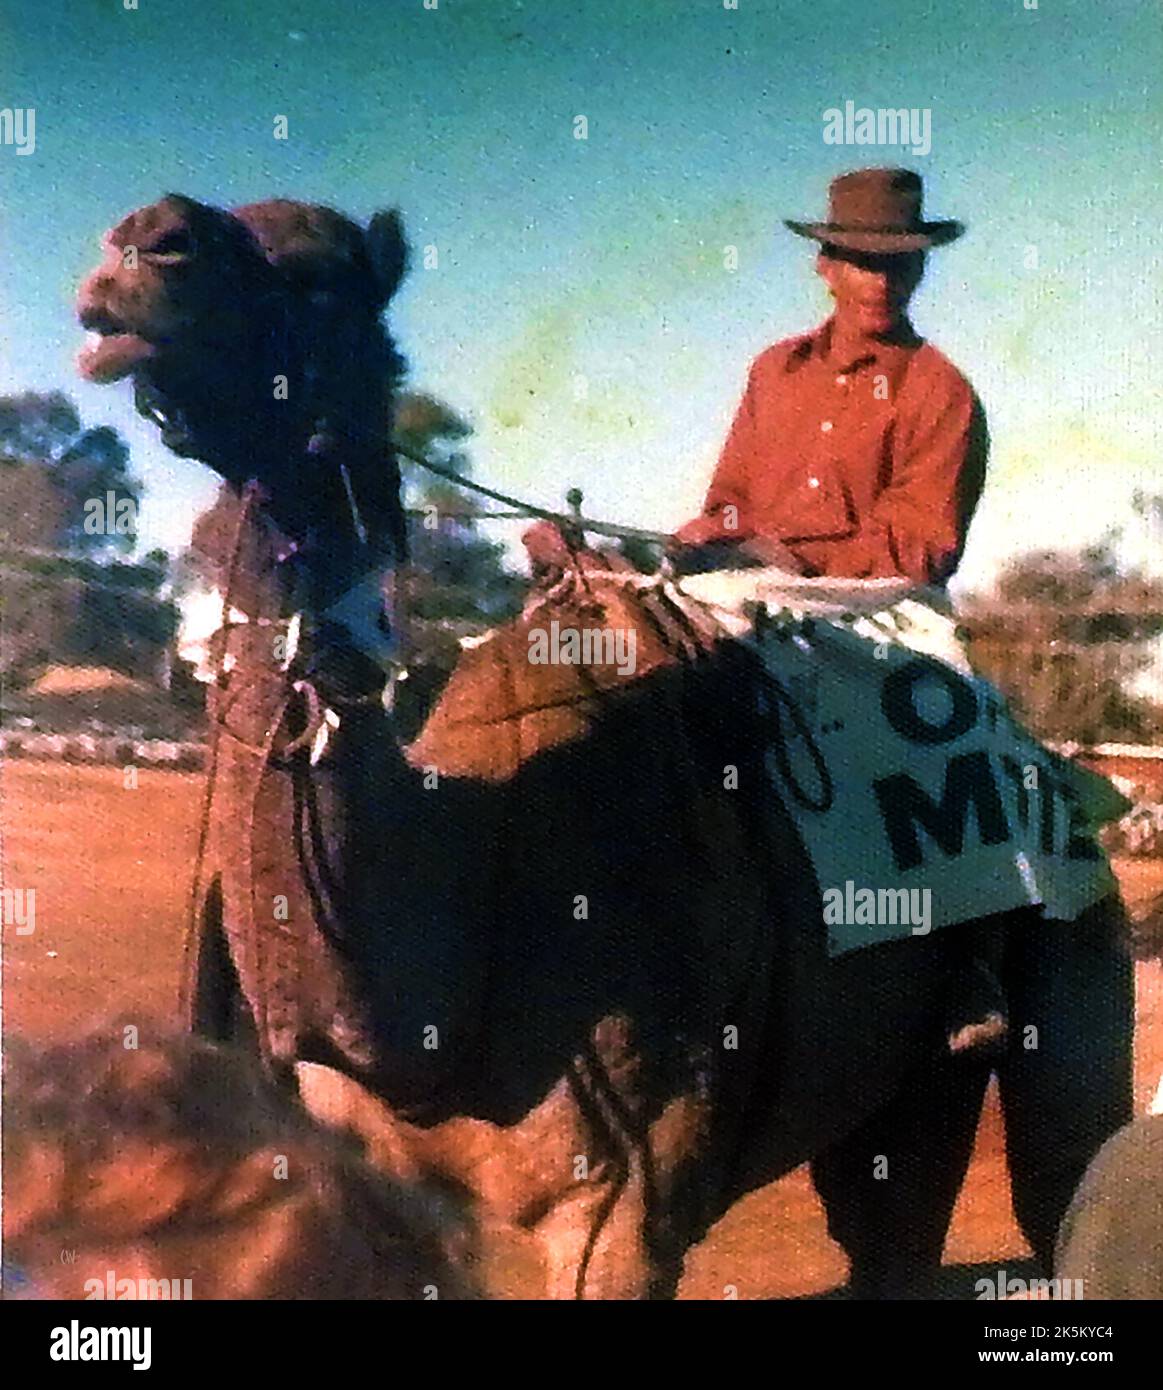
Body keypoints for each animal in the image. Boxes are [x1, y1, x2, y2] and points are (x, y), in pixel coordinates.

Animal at [74, 194, 1135, 1298]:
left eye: (318, 277)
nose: (141, 244)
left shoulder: (624, 1210)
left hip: (1077, 948)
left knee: (1058, 1173)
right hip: (903, 1077)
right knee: (890, 1216)